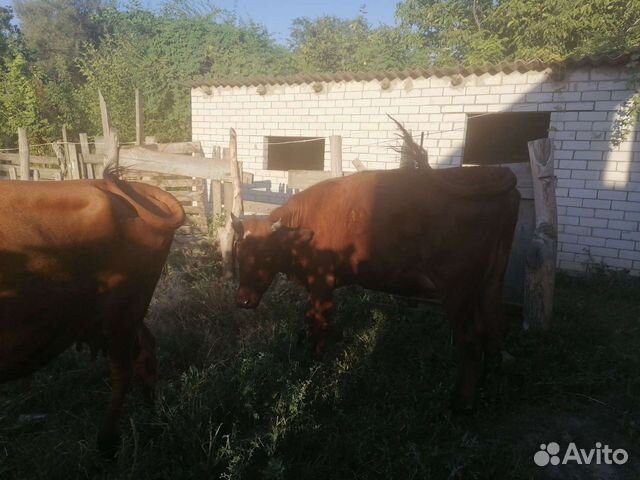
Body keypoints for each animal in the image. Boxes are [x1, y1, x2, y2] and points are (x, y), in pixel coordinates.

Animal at [0, 166, 185, 453]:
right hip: (125, 316)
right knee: (145, 351)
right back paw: (150, 411)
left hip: (121, 316)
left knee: (123, 369)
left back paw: (107, 442)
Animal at [232, 124, 520, 411]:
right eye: (239, 254)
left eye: (266, 254)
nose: (242, 301)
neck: (305, 225)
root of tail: (491, 171)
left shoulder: (322, 284)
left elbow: (317, 321)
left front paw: (314, 363)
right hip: (491, 281)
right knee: (494, 326)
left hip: (457, 289)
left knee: (471, 339)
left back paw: (462, 402)